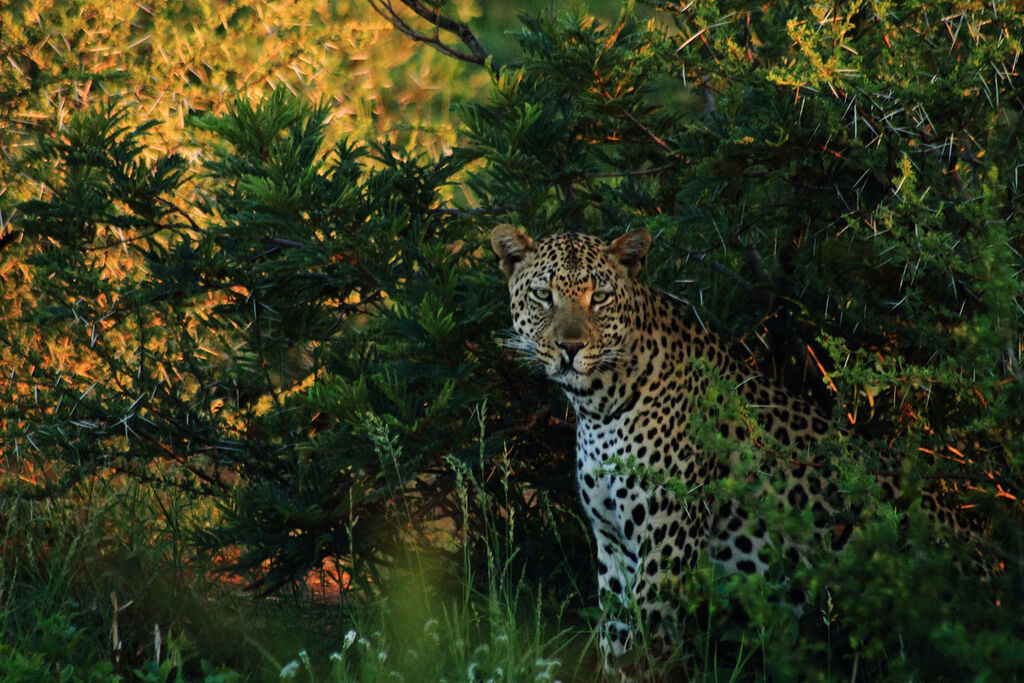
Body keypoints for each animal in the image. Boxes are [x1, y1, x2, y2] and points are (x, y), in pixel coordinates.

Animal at [490, 225, 984, 676]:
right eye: (542, 295)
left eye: (601, 298)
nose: (570, 348)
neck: (598, 403)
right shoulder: (613, 546)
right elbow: (617, 641)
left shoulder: (667, 546)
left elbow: (649, 649)